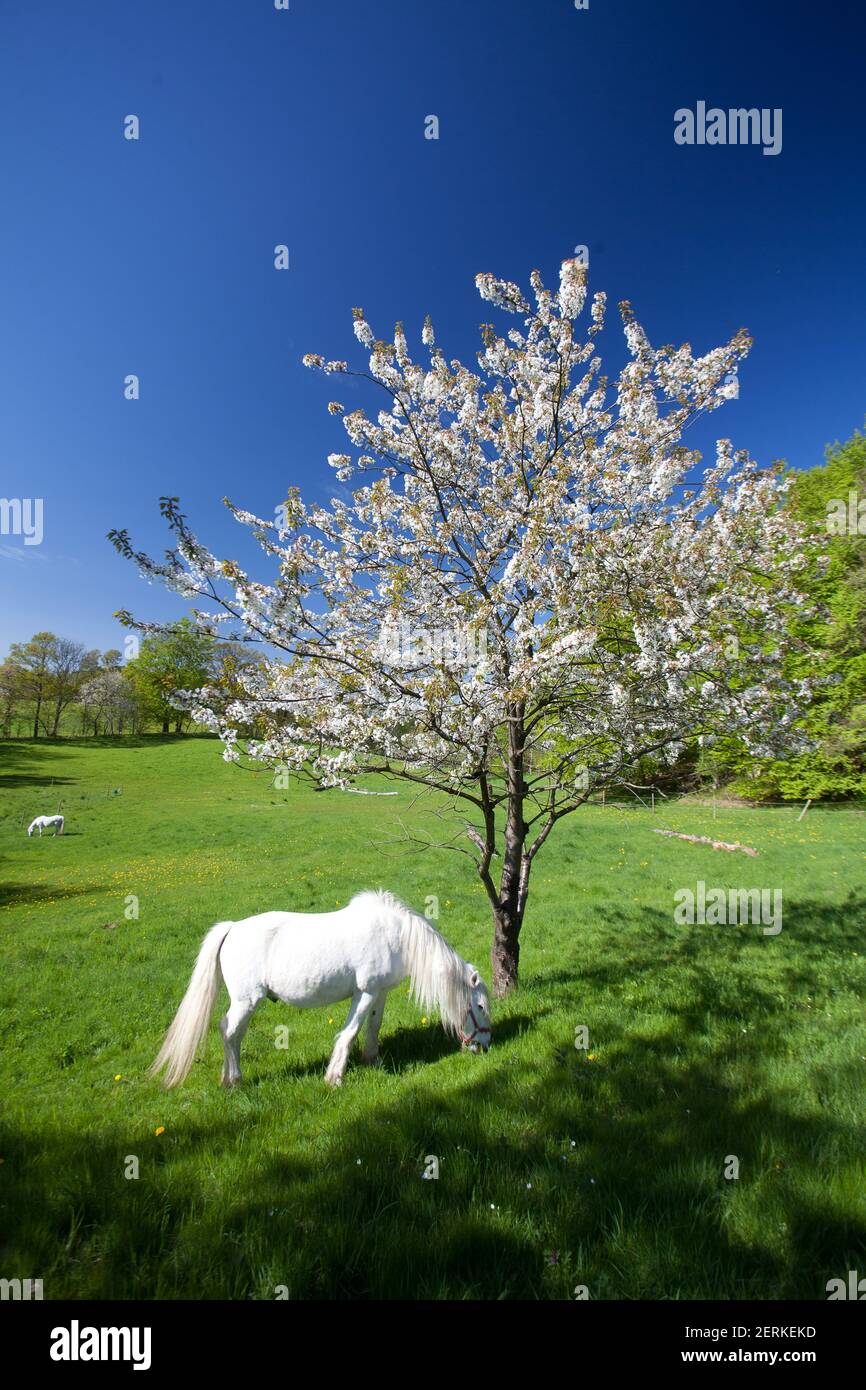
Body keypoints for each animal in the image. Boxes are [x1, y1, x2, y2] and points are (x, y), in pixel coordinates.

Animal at [151, 888, 491, 1089]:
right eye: (480, 1007)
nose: (485, 1046)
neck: (395, 935)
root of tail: (232, 928)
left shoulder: (380, 992)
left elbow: (374, 1026)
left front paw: (373, 1060)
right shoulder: (365, 992)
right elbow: (350, 1032)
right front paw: (334, 1077)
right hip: (247, 1001)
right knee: (231, 1033)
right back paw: (234, 1081)